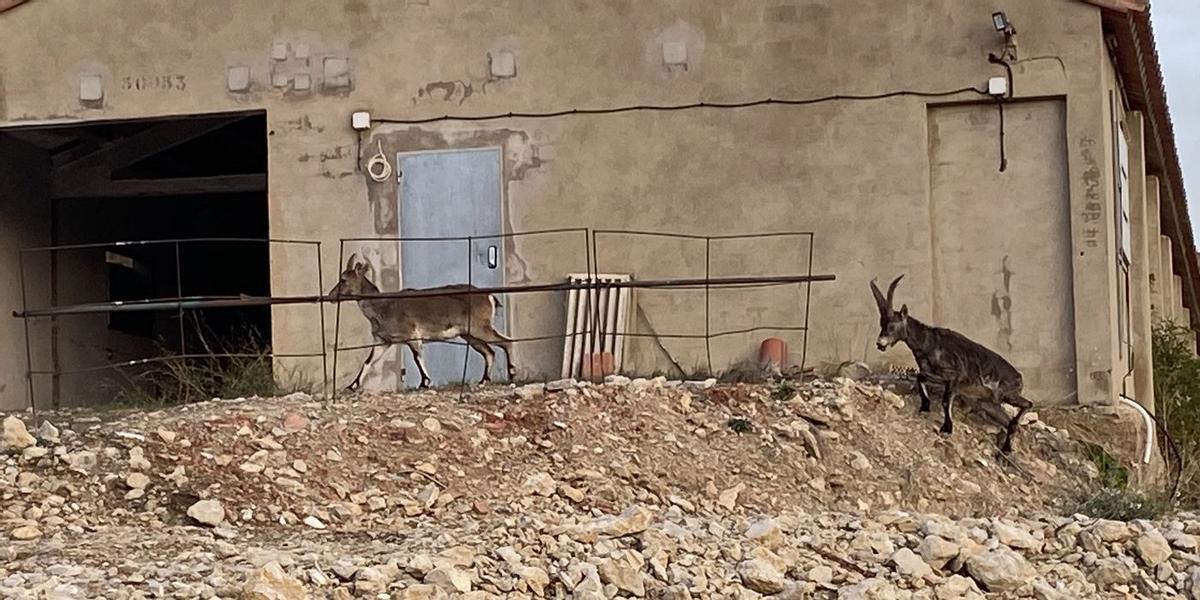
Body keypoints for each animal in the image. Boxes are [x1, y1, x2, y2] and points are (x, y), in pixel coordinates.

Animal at [328, 254, 516, 390]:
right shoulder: (383, 340)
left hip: (480, 326)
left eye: (343, 279)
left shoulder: (411, 333)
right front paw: (352, 386)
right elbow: (367, 361)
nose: (330, 296)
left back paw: (512, 375)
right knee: (489, 352)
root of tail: (490, 298)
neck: (382, 309)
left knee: (506, 341)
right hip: (469, 333)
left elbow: (417, 357)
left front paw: (425, 382)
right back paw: (483, 381)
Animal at [870, 275, 1032, 454]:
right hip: (989, 403)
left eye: (892, 325)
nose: (880, 343)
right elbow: (920, 377)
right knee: (1008, 422)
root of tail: (1019, 378)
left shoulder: (955, 376)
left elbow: (946, 401)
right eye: (881, 323)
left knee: (1027, 405)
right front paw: (925, 407)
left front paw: (946, 428)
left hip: (1007, 394)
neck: (929, 343)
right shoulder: (936, 375)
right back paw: (1005, 449)